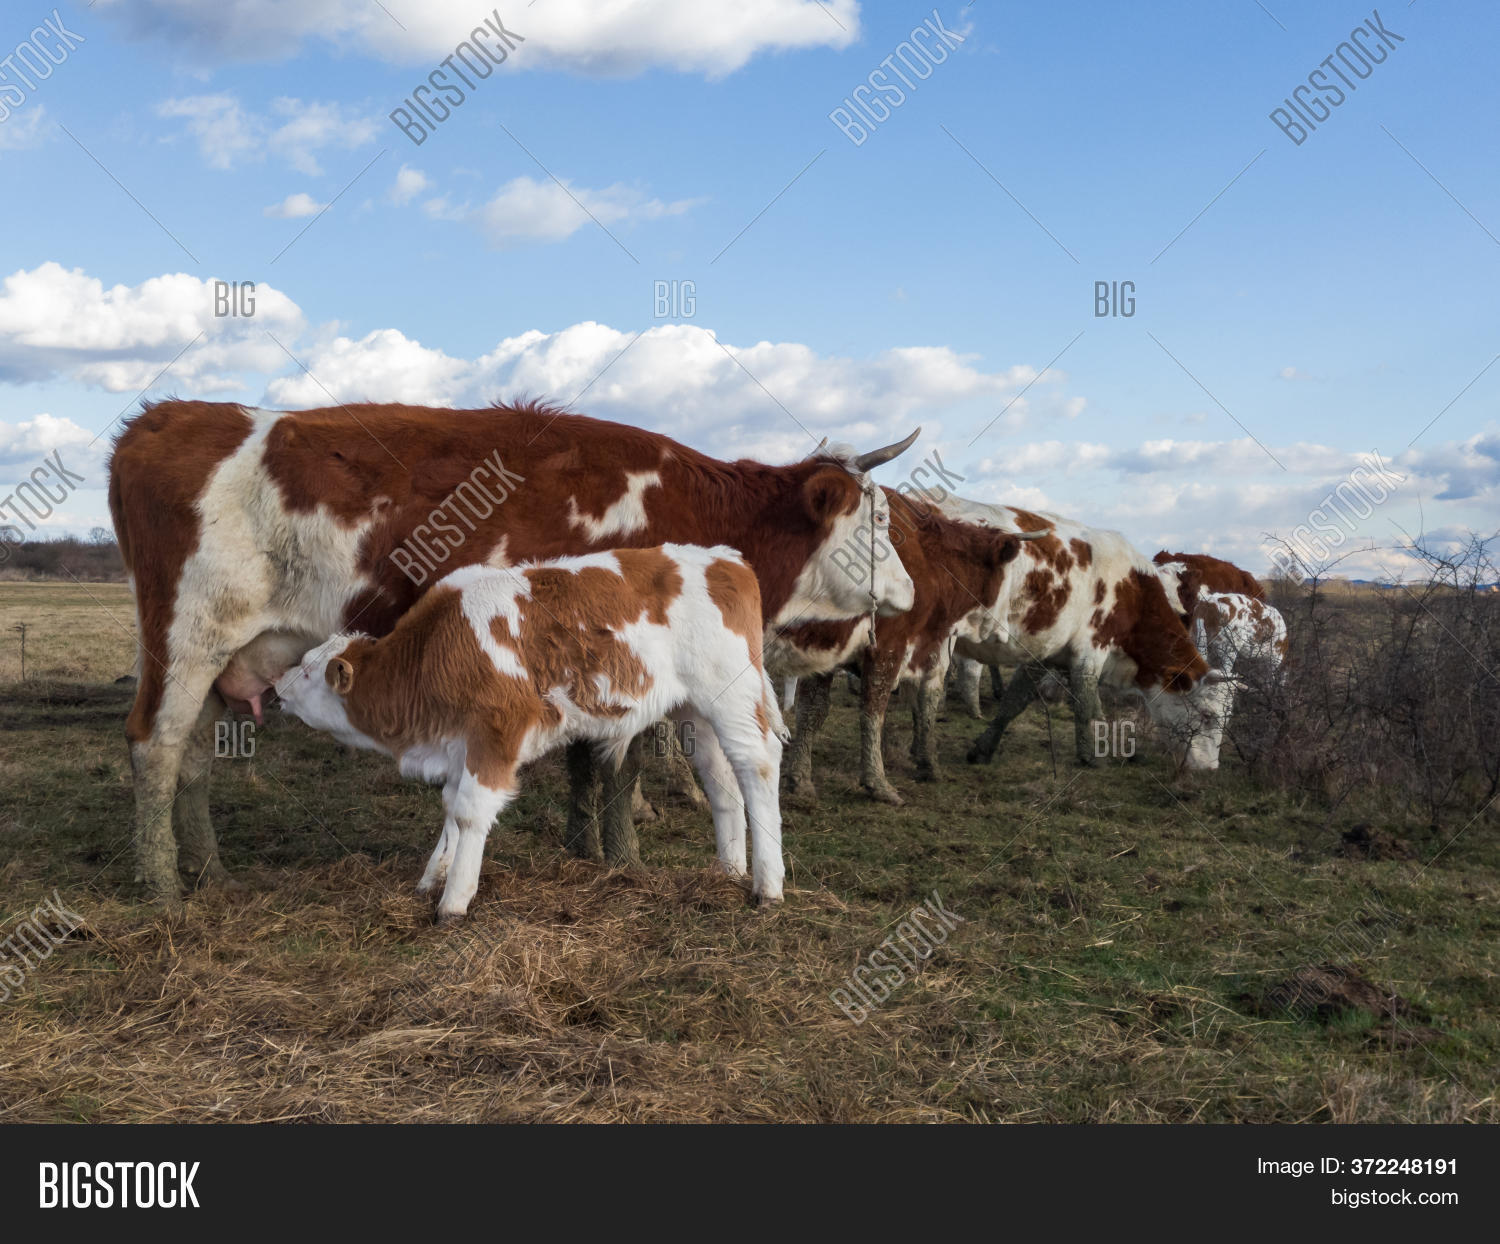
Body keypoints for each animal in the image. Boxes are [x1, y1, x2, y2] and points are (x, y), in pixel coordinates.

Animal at [275, 545, 787, 920]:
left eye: (308, 671)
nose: (275, 685)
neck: (438, 648)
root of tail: (724, 558)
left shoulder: (497, 730)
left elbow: (470, 812)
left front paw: (453, 902)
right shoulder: (462, 743)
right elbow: (451, 806)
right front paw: (431, 878)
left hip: (732, 696)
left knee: (758, 766)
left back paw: (768, 884)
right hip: (695, 710)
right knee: (722, 780)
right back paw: (728, 871)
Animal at [775, 491, 1032, 804]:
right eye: (1009, 573)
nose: (1004, 632)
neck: (933, 563)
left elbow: (813, 710)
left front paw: (799, 778)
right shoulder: (898, 649)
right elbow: (886, 708)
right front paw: (886, 777)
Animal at [929, 497, 1213, 769]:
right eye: (1207, 716)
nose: (1210, 767)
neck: (1133, 590)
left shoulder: (1044, 654)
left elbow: (1015, 701)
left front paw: (983, 748)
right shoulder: (1092, 649)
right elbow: (1087, 704)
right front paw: (1092, 758)